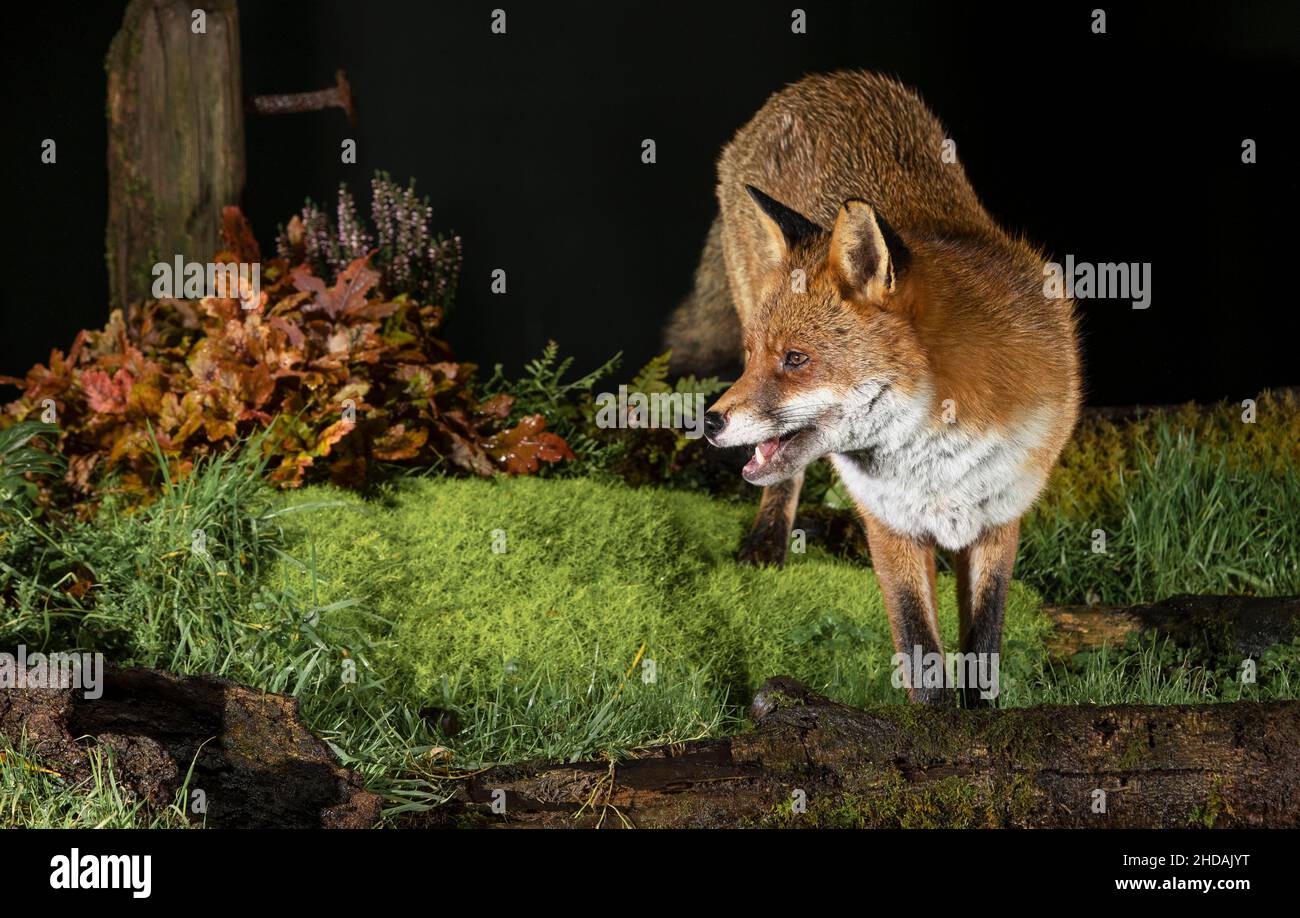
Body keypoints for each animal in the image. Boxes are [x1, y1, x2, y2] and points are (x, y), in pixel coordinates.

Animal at [665, 70, 1081, 705]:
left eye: (796, 359)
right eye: (752, 357)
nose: (709, 422)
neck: (940, 456)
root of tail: (820, 82)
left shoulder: (1000, 515)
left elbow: (984, 644)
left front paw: (983, 719)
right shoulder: (890, 524)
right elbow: (920, 651)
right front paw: (931, 727)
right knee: (784, 483)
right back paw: (767, 543)